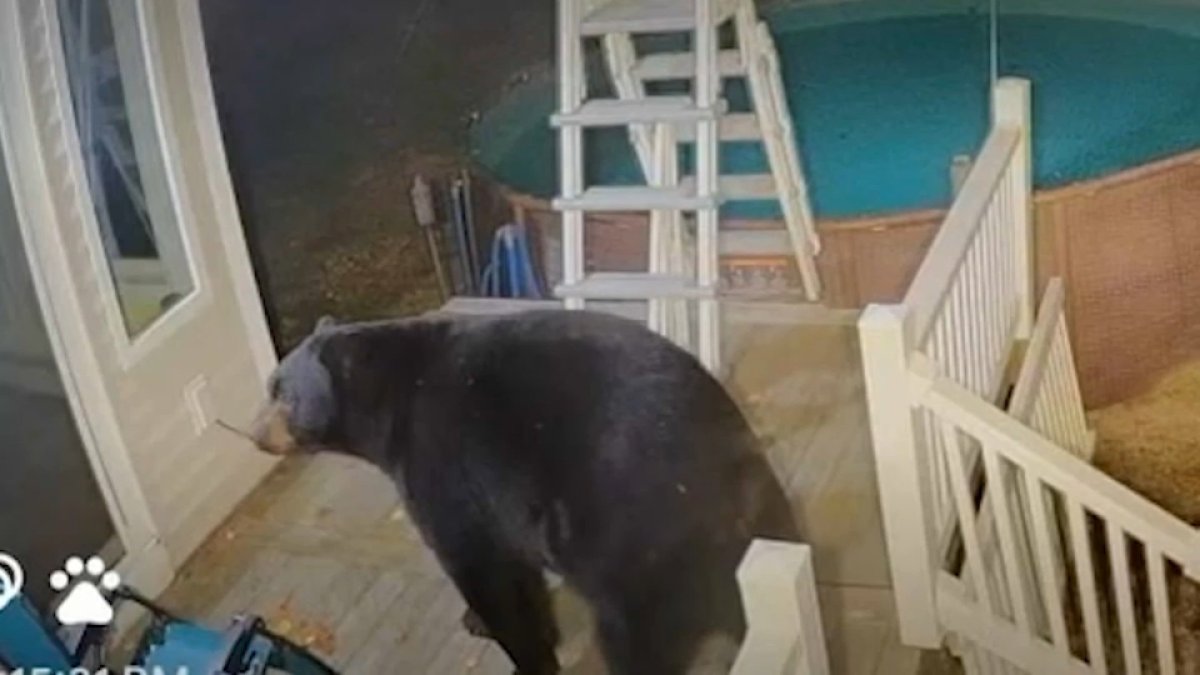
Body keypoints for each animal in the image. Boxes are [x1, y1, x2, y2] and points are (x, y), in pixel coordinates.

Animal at [250, 309, 799, 675]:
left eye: (280, 390)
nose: (255, 433)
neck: (390, 411)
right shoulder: (505, 502)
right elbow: (519, 571)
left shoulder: (445, 467)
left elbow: (485, 574)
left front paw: (516, 649)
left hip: (631, 545)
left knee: (633, 634)